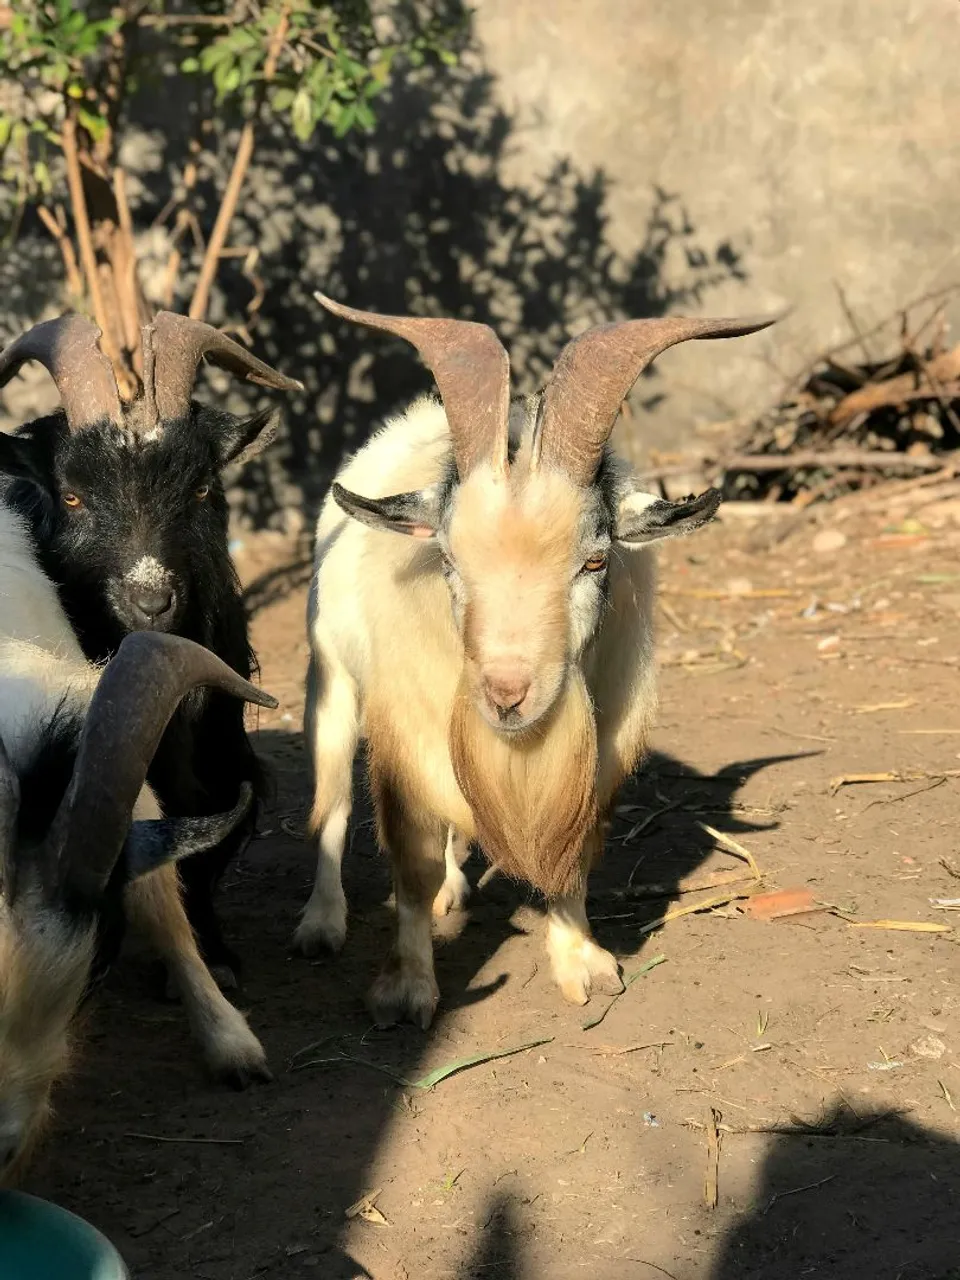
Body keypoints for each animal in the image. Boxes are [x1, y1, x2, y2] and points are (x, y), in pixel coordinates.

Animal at [0, 313, 301, 992]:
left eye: (201, 488)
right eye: (72, 496)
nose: (151, 600)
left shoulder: (221, 749)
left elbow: (206, 830)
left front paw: (215, 956)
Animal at [297, 294, 776, 1027]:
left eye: (596, 560)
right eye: (447, 559)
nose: (506, 695)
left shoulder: (599, 753)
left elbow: (570, 855)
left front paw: (584, 964)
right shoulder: (406, 740)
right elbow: (409, 861)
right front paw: (405, 991)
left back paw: (454, 892)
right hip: (331, 681)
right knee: (332, 802)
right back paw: (321, 923)